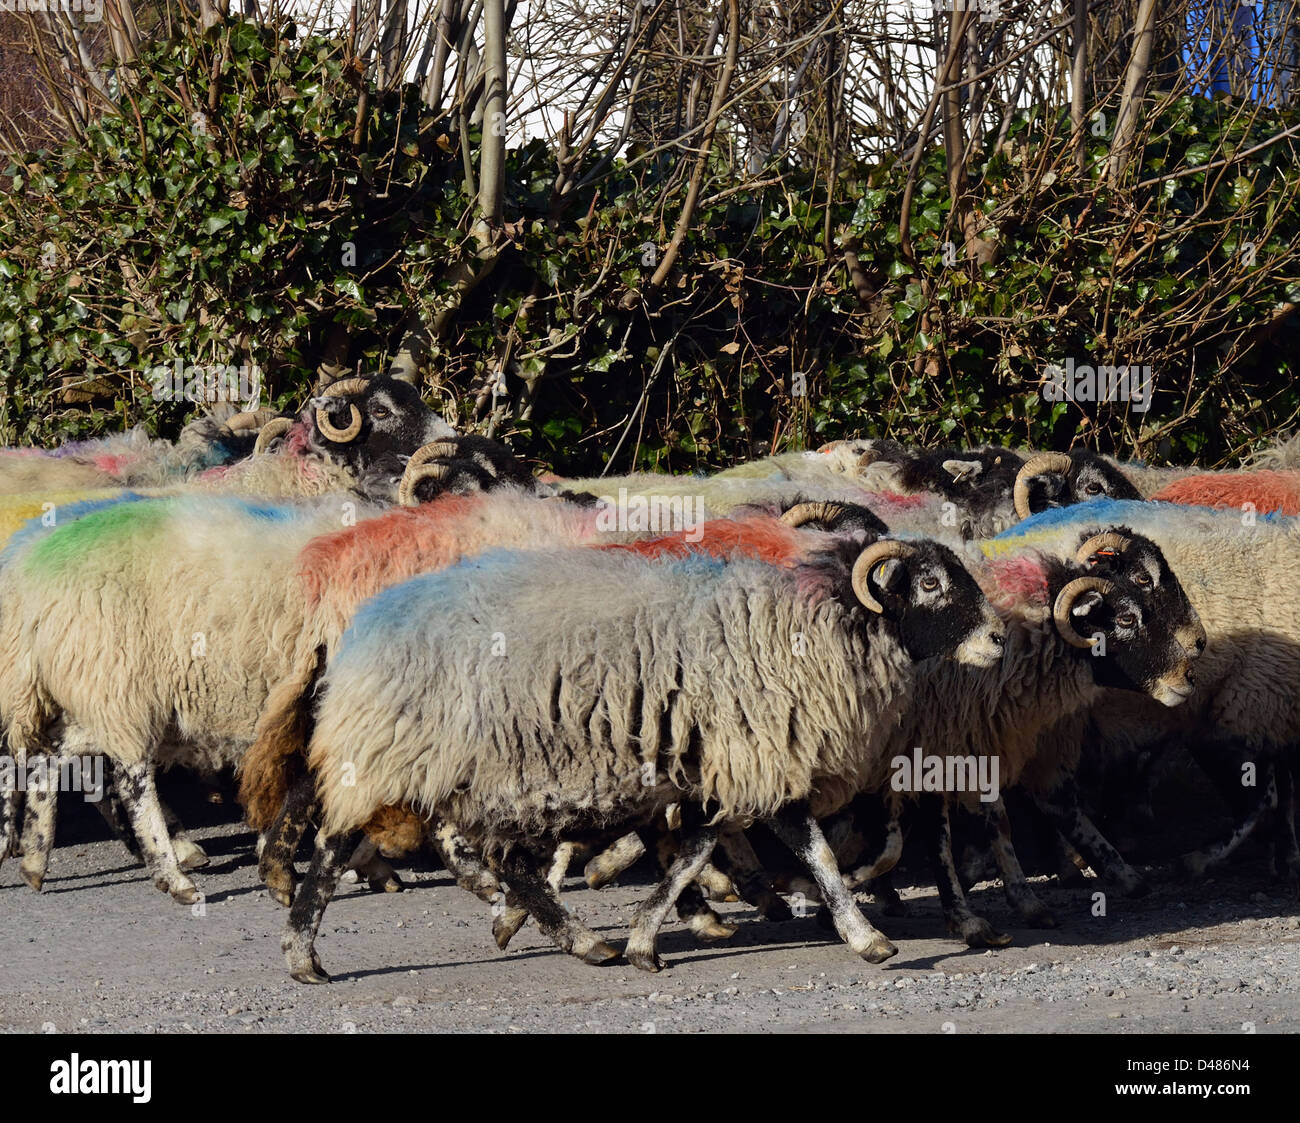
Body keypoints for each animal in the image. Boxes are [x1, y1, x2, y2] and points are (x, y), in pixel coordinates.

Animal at [278, 532, 1007, 982]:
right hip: (392, 755)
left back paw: (579, 940)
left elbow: (701, 854)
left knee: (504, 861)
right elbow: (806, 855)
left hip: (482, 773)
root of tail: (364, 630)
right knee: (335, 845)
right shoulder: (759, 755)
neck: (814, 623)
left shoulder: (730, 765)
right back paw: (302, 956)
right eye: (931, 583)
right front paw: (868, 939)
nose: (1000, 637)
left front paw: (640, 940)